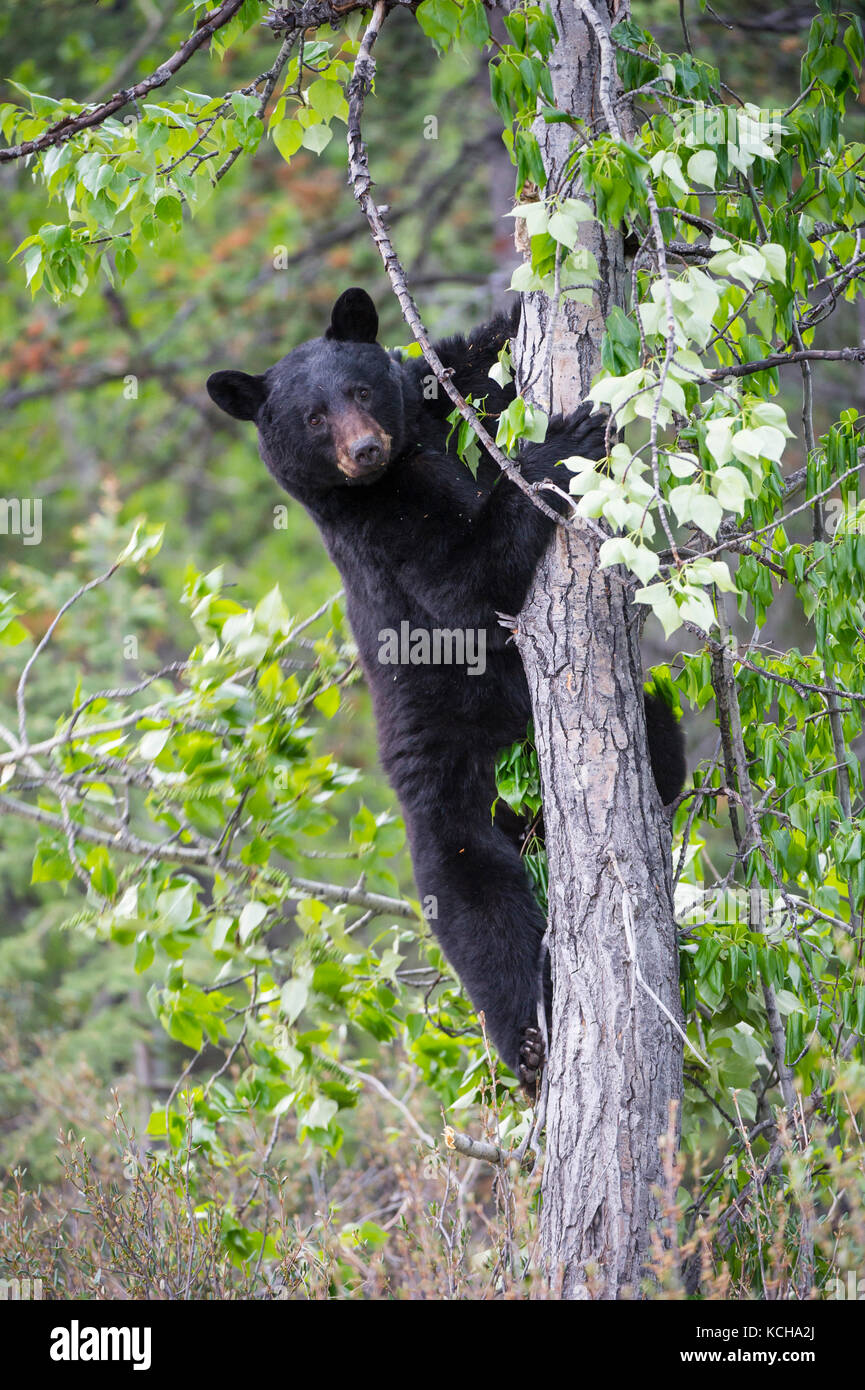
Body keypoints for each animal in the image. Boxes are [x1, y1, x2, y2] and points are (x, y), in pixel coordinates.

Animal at [206, 288, 686, 1092]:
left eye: (360, 391)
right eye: (312, 419)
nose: (364, 450)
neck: (403, 462)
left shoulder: (445, 406)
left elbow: (481, 361)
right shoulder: (379, 528)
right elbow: (465, 578)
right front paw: (563, 440)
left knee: (664, 749)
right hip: (444, 778)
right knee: (474, 899)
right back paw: (527, 1038)